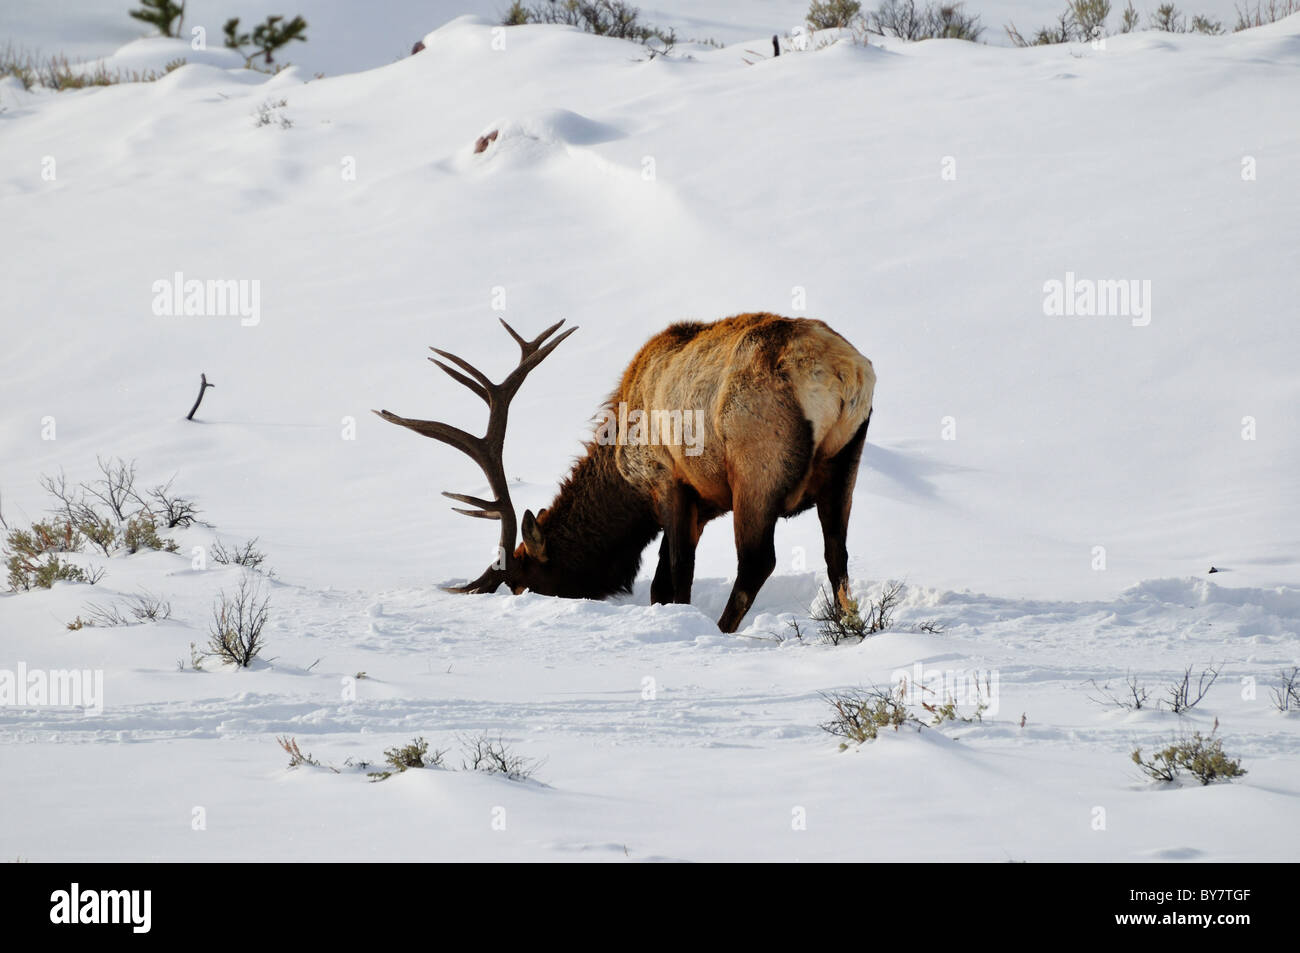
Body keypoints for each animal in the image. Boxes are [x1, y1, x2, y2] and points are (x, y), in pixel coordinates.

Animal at [374, 312, 875, 633]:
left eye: (522, 584)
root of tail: (843, 372)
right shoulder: (699, 501)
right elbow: (659, 582)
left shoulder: (668, 481)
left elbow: (675, 576)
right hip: (846, 462)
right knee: (837, 556)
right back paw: (849, 625)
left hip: (757, 469)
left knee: (757, 561)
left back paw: (720, 631)